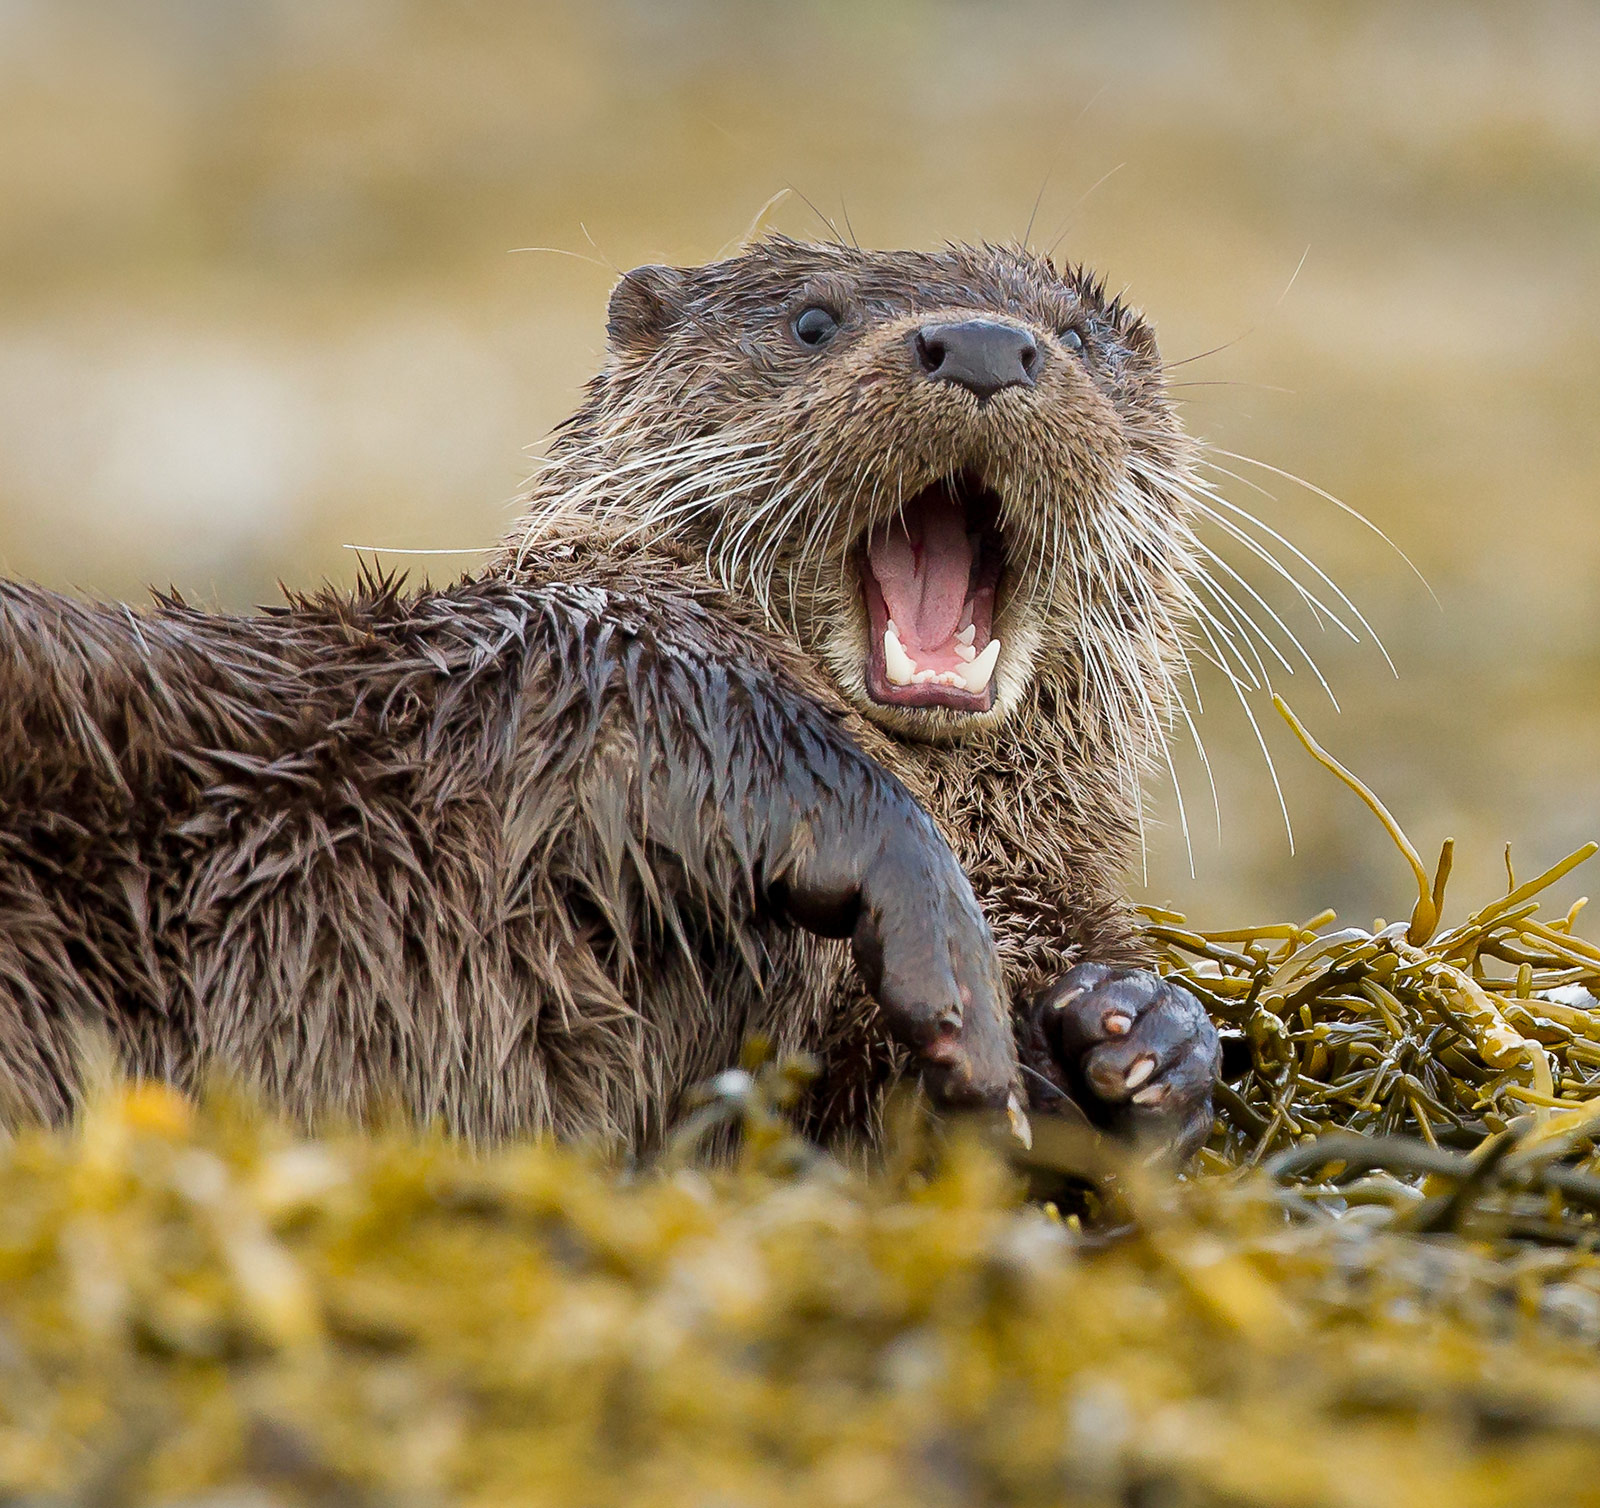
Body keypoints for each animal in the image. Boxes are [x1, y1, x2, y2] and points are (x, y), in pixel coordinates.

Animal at [0, 236, 1219, 1155]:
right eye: (811, 323)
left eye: (1078, 337)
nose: (980, 342)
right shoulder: (553, 654)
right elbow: (689, 730)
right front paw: (949, 951)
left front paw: (1146, 1035)